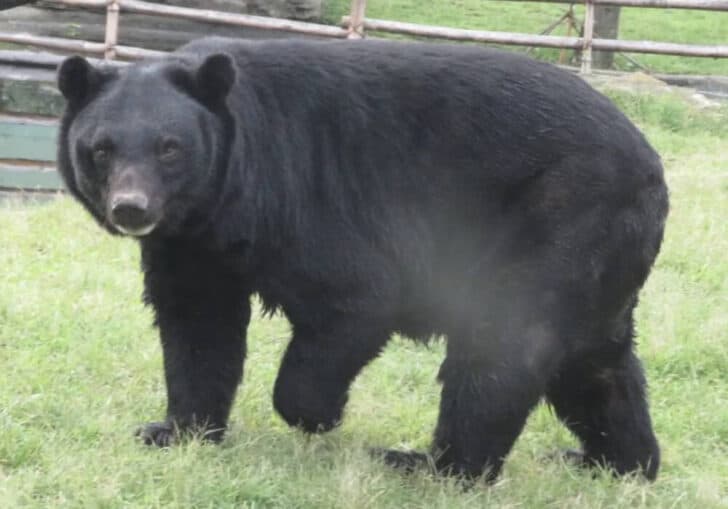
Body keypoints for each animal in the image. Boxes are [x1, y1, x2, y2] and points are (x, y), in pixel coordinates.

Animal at [56, 36, 668, 482]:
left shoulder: (300, 194)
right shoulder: (193, 245)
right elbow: (197, 325)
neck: (219, 204)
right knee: (597, 364)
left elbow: (355, 296)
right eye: (101, 149)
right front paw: (173, 431)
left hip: (557, 218)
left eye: (170, 148)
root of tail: (650, 165)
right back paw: (616, 461)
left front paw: (317, 415)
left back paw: (431, 465)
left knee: (502, 348)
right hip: (600, 255)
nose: (131, 209)